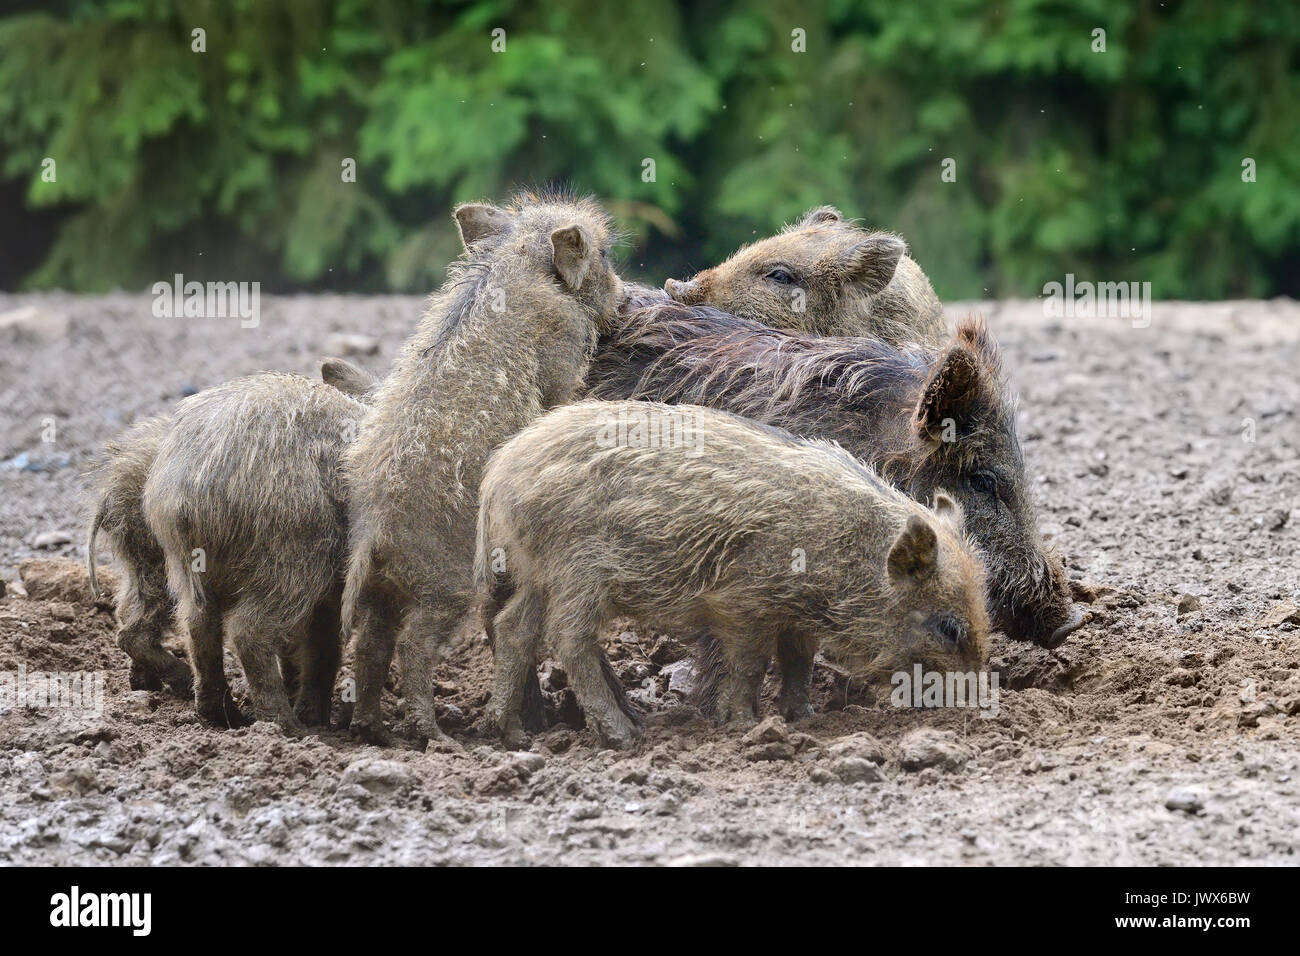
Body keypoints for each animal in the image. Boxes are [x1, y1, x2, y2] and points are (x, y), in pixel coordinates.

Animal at [341, 190, 625, 745]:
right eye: (602, 254)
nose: (626, 296)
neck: (524, 261)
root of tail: (372, 529)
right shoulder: (561, 362)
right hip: (448, 584)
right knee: (413, 646)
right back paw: (437, 736)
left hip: (384, 592)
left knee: (370, 645)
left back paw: (374, 731)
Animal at [477, 400, 990, 748]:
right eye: (948, 627)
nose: (981, 703)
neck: (843, 552)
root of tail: (498, 473)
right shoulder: (742, 601)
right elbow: (751, 662)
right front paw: (744, 724)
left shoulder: (795, 614)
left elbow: (799, 660)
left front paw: (803, 718)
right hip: (576, 571)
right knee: (568, 640)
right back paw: (626, 735)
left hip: (538, 572)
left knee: (514, 627)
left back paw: (514, 736)